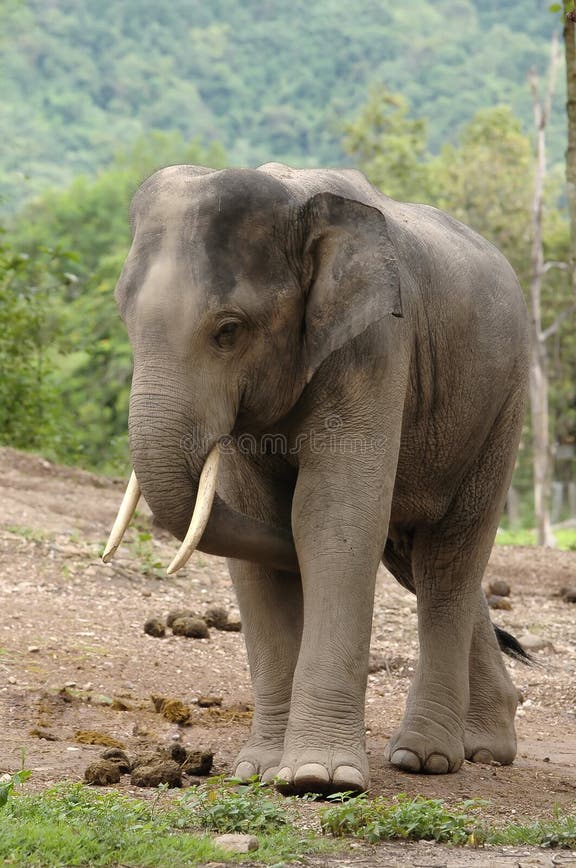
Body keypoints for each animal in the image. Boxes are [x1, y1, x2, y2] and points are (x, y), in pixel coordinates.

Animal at [103, 162, 530, 796]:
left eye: (228, 330)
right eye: (123, 317)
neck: (295, 202)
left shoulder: (374, 347)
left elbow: (330, 520)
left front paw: (317, 779)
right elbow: (258, 537)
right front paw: (258, 771)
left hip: (503, 403)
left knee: (448, 557)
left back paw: (425, 757)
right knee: (420, 562)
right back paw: (485, 746)